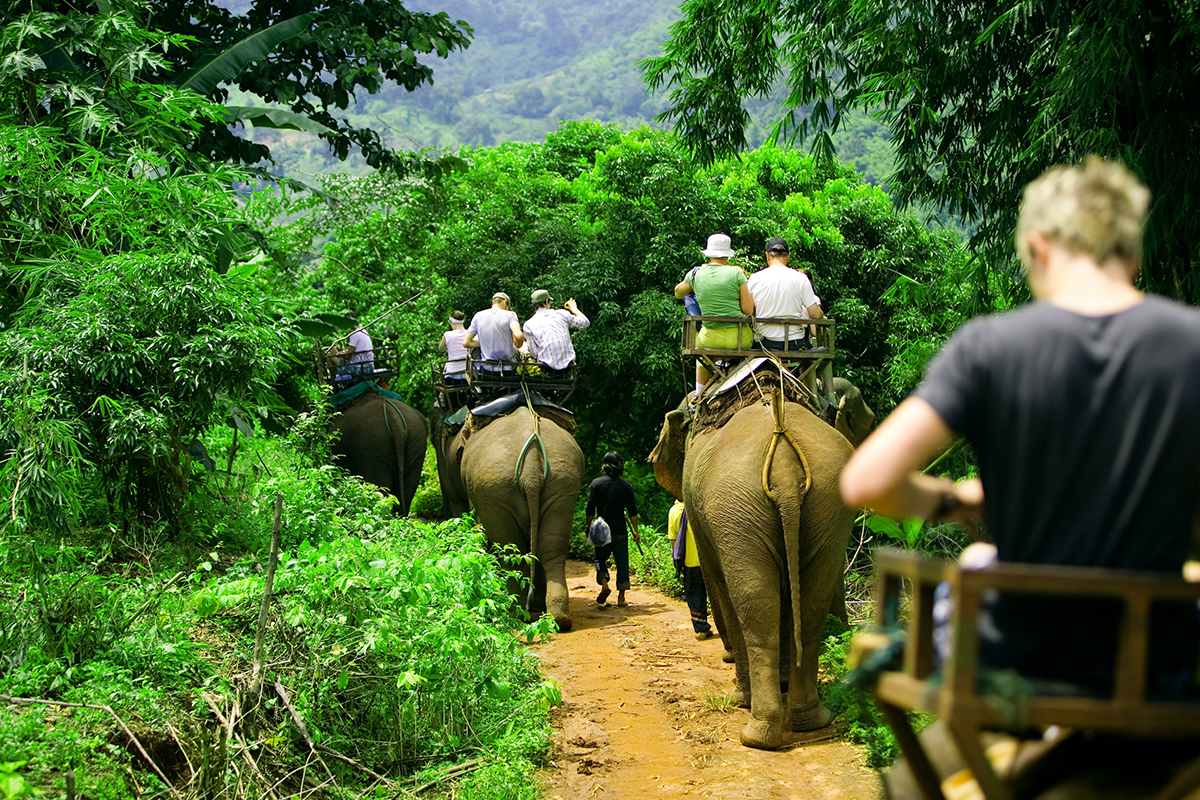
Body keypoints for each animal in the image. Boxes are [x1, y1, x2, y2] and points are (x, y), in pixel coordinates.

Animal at [429, 400, 583, 633]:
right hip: (563, 483)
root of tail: (531, 468)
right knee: (551, 550)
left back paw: (513, 613)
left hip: (494, 490)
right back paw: (557, 618)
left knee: (512, 552)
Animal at [652, 376, 878, 753]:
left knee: (753, 607)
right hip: (825, 505)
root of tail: (784, 456)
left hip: (734, 509)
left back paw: (755, 732)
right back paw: (809, 719)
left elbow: (718, 584)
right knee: (809, 604)